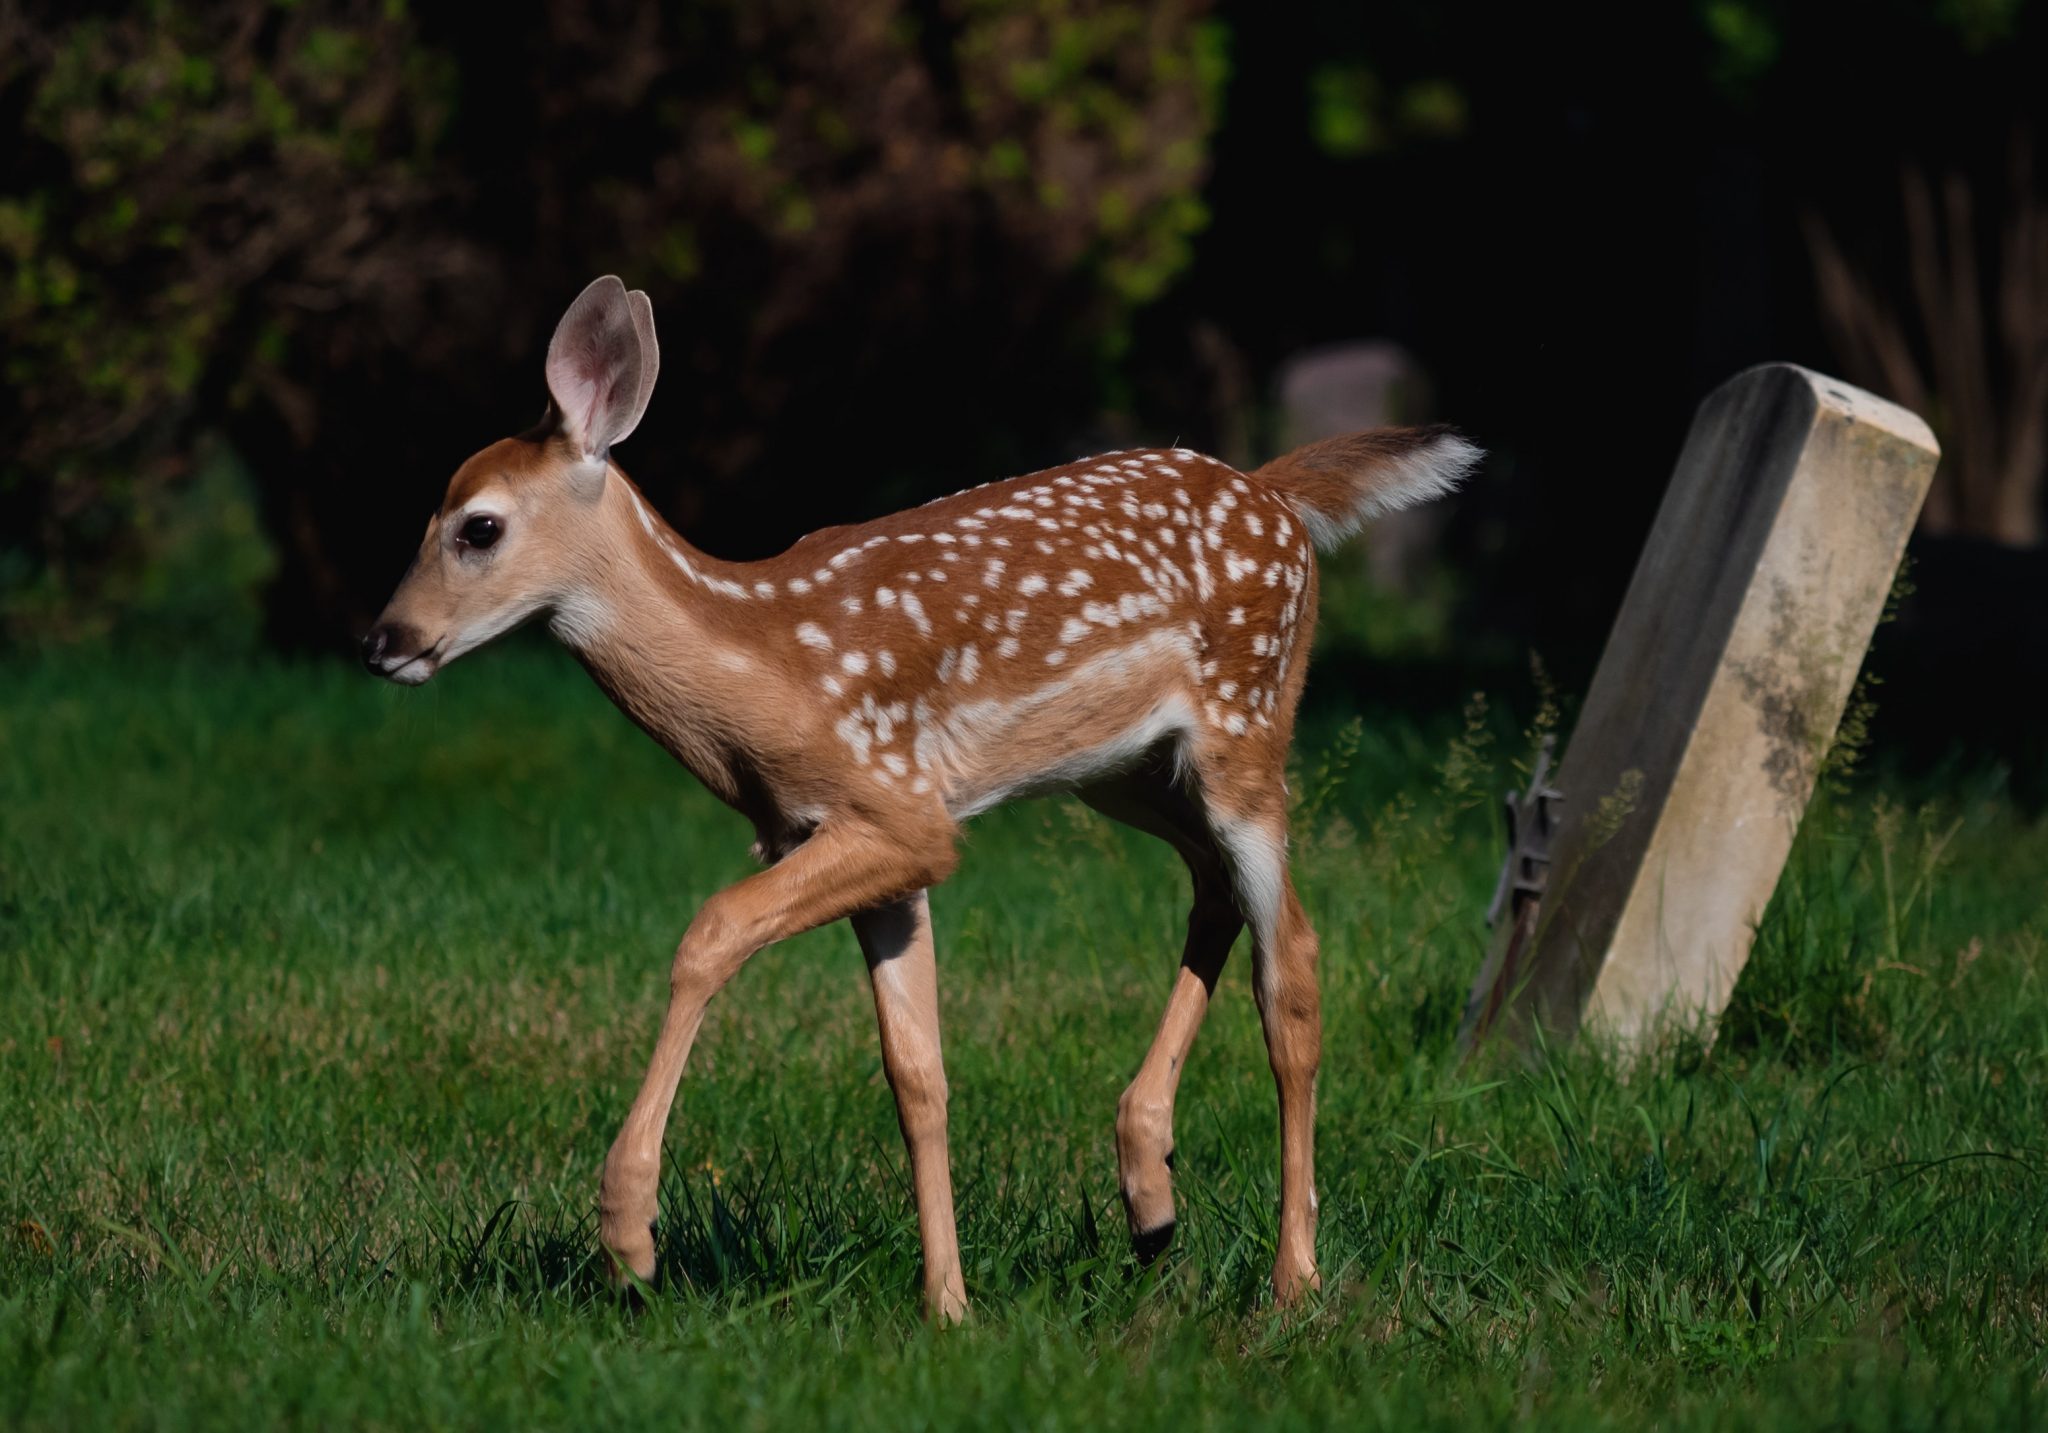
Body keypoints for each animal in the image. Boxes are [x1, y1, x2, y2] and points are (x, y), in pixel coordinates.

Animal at [361, 276, 1481, 1321]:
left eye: (478, 527)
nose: (382, 639)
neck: (766, 669)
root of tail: (1273, 493)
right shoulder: (873, 848)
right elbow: (916, 1073)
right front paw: (948, 1302)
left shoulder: (899, 811)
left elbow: (711, 930)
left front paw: (629, 1236)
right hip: (1126, 772)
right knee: (1213, 892)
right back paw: (1148, 1194)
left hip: (1249, 723)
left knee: (1292, 962)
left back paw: (1292, 1278)